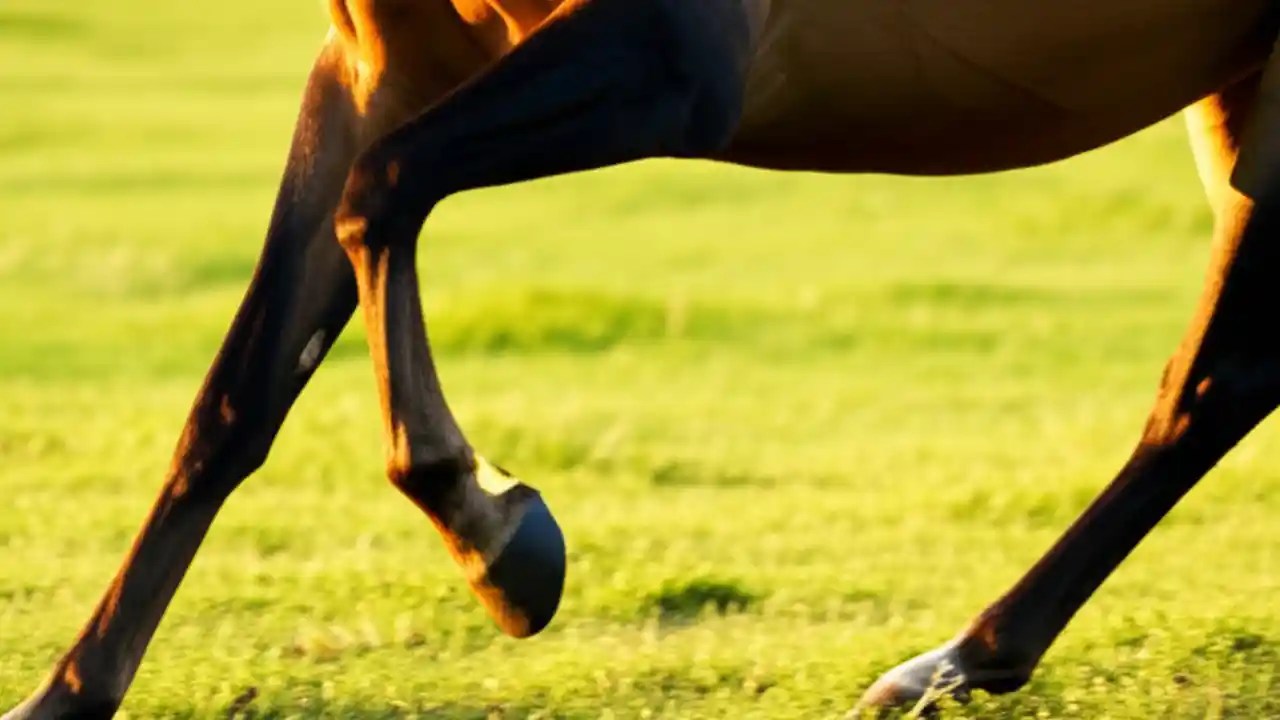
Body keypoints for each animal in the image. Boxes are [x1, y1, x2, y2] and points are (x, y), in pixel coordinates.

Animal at [7, 0, 1280, 716]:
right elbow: (238, 395)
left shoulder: (672, 60)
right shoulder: (375, 64)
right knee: (1217, 385)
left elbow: (379, 200)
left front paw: (498, 538)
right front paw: (67, 695)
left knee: (1212, 379)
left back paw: (954, 662)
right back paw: (961, 662)